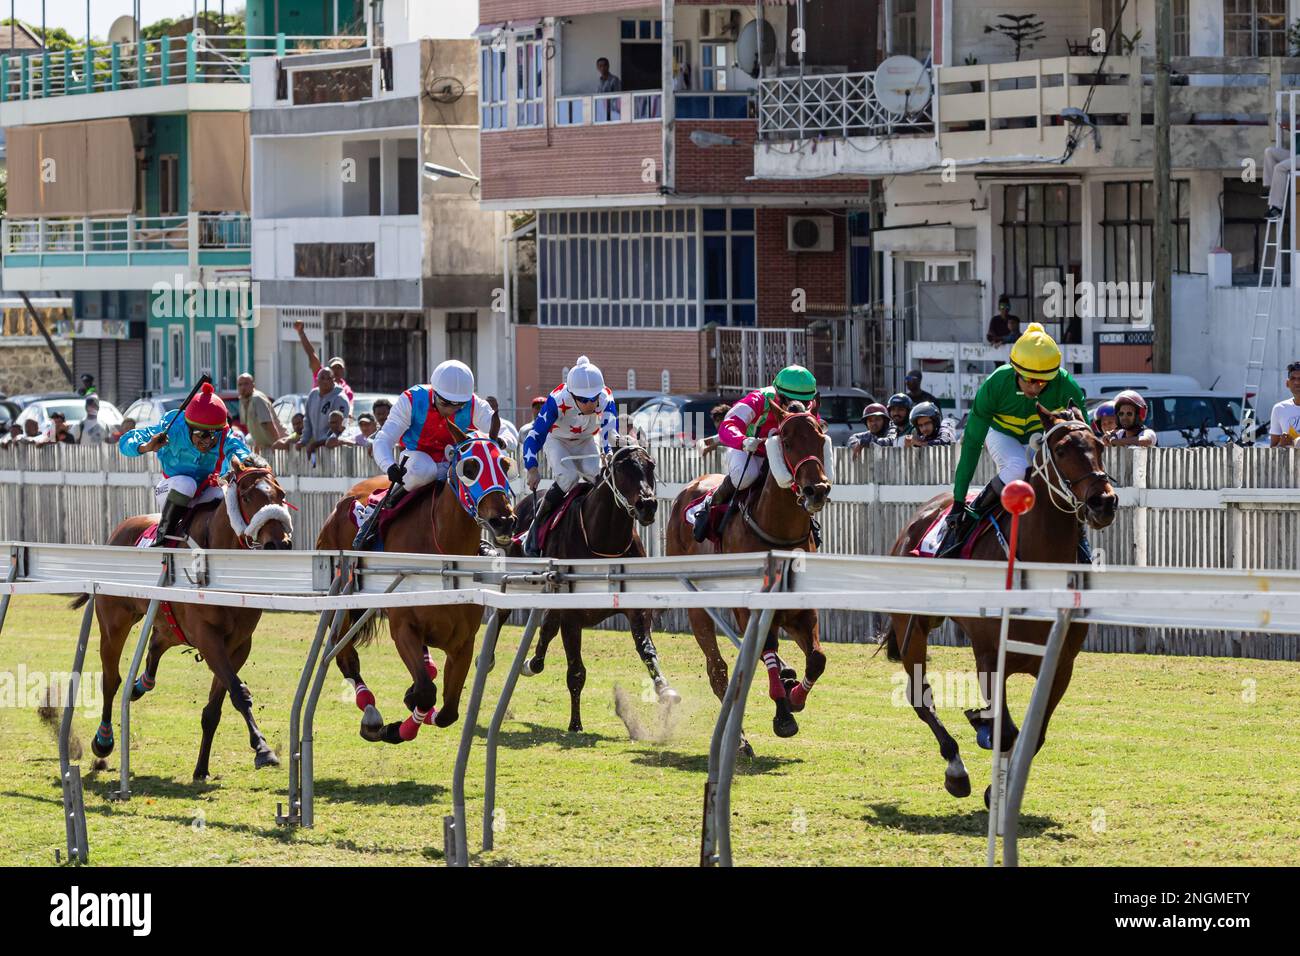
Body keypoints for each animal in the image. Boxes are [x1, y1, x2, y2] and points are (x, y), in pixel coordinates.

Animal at [74, 457, 295, 785]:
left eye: (280, 494)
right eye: (246, 497)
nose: (279, 544)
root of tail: (117, 531)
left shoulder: (238, 645)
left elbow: (215, 708)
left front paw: (202, 767)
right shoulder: (208, 638)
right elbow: (239, 693)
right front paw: (262, 748)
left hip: (169, 624)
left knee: (156, 645)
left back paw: (140, 685)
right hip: (114, 624)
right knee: (111, 679)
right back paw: (104, 739)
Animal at [314, 426, 517, 749]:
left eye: (506, 464)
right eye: (470, 467)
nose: (504, 521)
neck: (442, 554)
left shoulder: (463, 642)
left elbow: (447, 711)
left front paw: (413, 707)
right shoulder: (403, 628)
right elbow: (425, 691)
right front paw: (397, 727)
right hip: (342, 601)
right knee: (346, 656)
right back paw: (370, 713)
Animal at [504, 439, 681, 733]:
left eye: (651, 465)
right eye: (621, 469)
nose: (647, 506)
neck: (603, 541)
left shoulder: (636, 609)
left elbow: (647, 650)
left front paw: (664, 688)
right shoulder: (572, 616)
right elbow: (576, 671)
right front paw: (575, 724)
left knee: (547, 628)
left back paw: (532, 662)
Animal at [665, 400, 837, 749]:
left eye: (820, 437)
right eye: (786, 442)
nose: (817, 490)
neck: (779, 533)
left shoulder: (801, 610)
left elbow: (817, 658)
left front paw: (795, 697)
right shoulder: (750, 609)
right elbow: (767, 652)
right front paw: (783, 715)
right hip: (698, 608)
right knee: (717, 669)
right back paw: (742, 740)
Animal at [883, 403, 1118, 801]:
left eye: (1100, 444)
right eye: (1061, 450)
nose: (1104, 501)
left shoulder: (1061, 665)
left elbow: (1032, 735)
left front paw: (1001, 787)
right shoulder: (990, 658)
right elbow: (1005, 731)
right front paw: (985, 748)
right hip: (912, 629)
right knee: (920, 696)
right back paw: (955, 767)